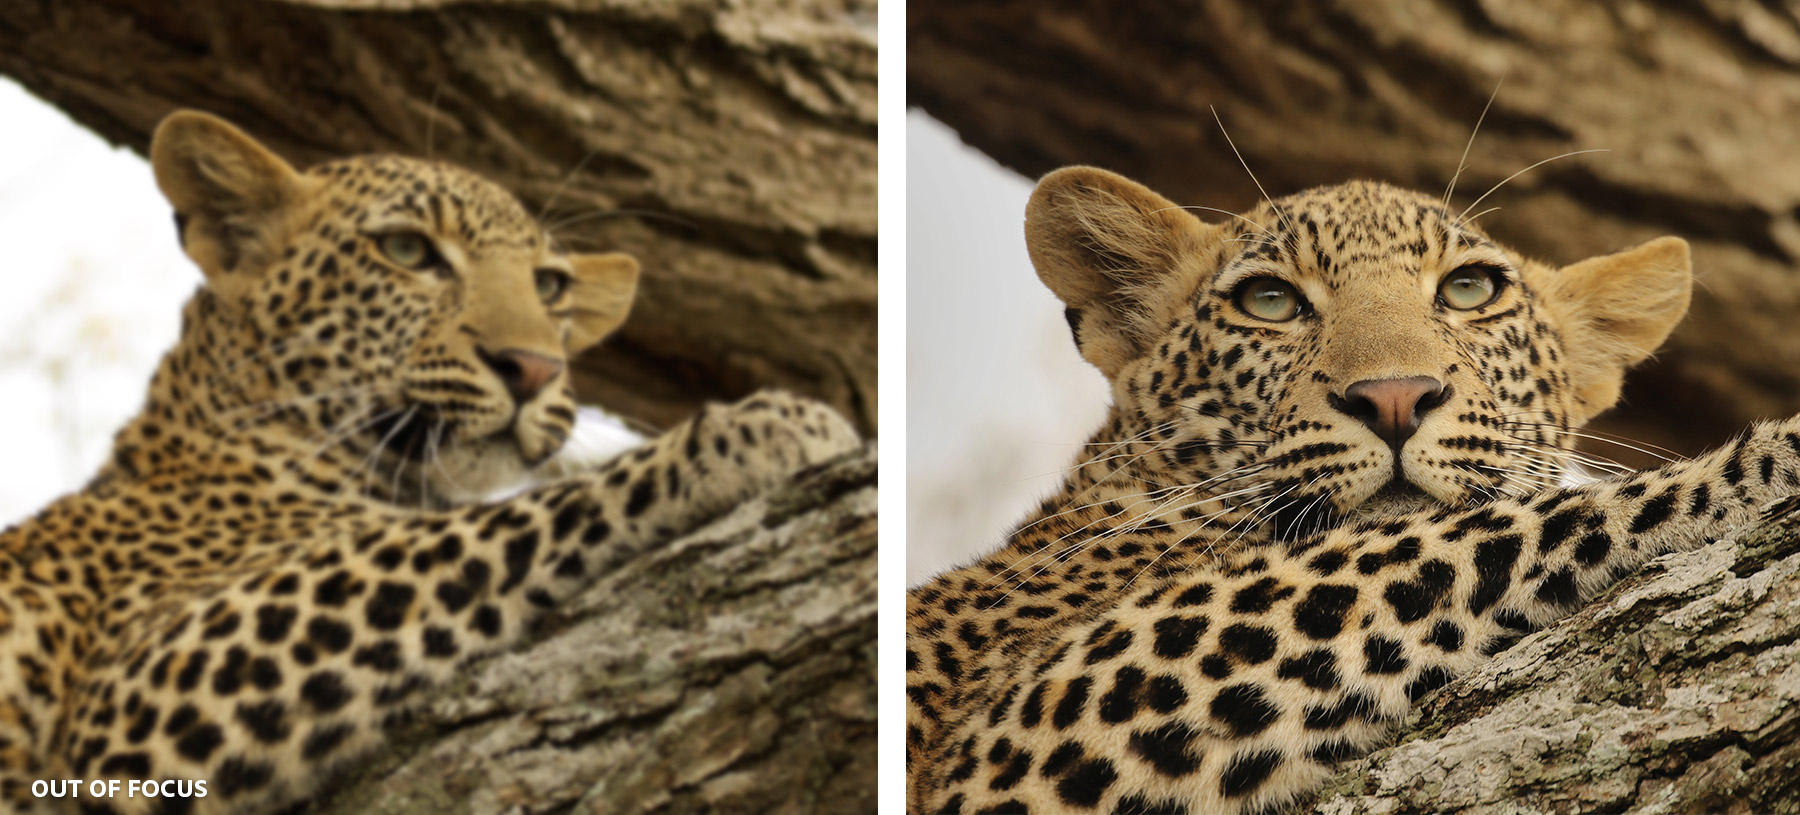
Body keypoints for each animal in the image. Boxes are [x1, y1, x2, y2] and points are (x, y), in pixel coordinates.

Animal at [914, 166, 1800, 813]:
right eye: (1269, 301)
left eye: (1471, 289)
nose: (1396, 398)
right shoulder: (1018, 718)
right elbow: (1473, 530)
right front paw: (1762, 459)